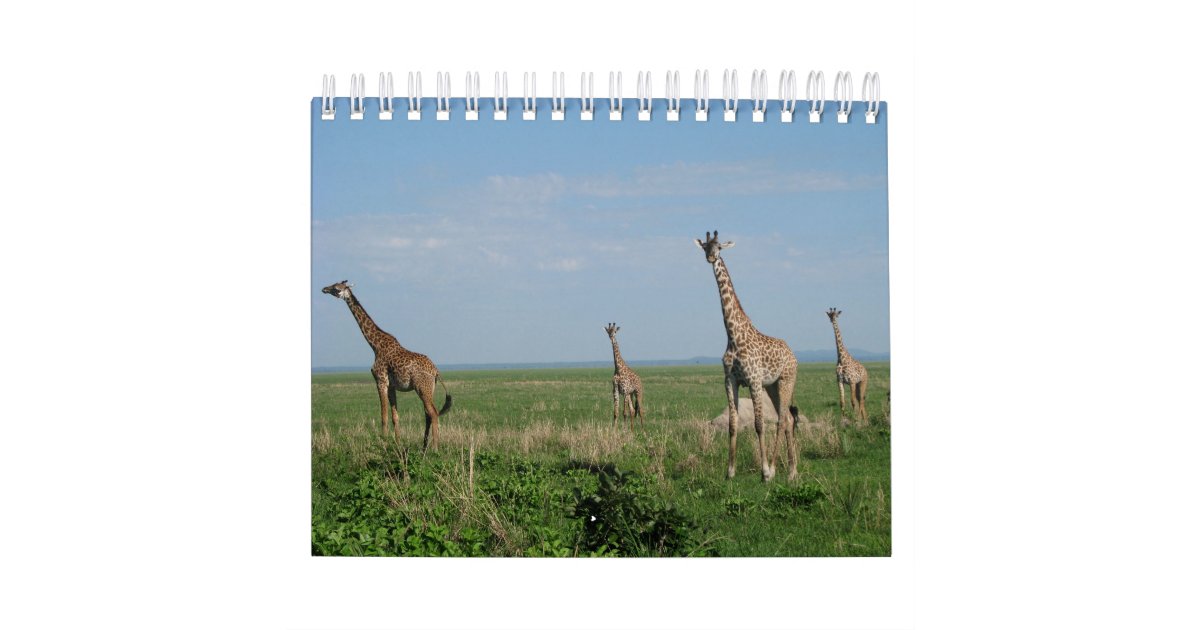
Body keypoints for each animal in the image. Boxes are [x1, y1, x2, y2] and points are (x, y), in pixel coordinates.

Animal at [321, 281, 452, 451]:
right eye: (333, 285)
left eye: (336, 289)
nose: (324, 289)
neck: (375, 345)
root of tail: (436, 371)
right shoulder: (391, 386)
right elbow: (395, 416)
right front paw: (397, 443)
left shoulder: (380, 380)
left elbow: (383, 415)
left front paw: (382, 442)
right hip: (429, 389)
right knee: (428, 414)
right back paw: (423, 447)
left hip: (422, 387)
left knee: (433, 412)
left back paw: (434, 449)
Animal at [695, 231, 798, 482]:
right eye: (705, 247)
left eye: (719, 247)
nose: (711, 257)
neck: (733, 335)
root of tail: (792, 354)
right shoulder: (730, 380)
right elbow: (733, 424)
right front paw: (730, 471)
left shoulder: (753, 381)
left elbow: (759, 424)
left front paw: (764, 471)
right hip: (772, 386)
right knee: (788, 419)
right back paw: (791, 471)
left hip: (786, 381)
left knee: (782, 420)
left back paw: (777, 470)